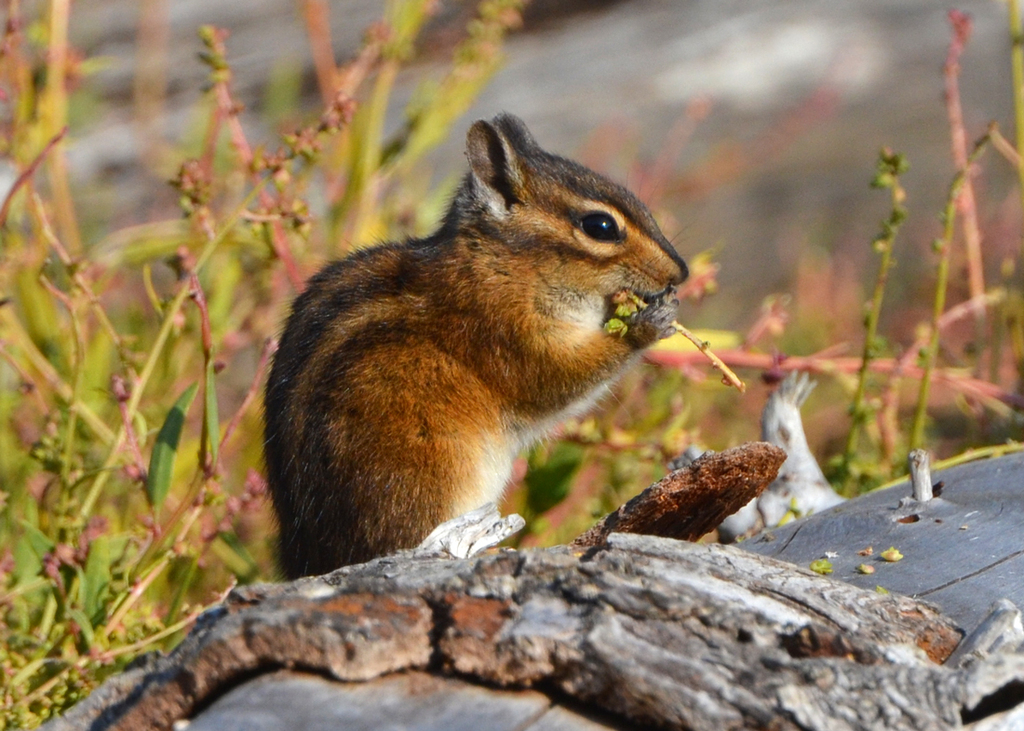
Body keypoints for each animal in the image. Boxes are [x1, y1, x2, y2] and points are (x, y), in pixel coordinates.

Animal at [264, 113, 688, 578]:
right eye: (601, 226)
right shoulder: (508, 334)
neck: (502, 266)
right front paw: (648, 323)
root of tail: (313, 560)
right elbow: (560, 377)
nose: (681, 272)